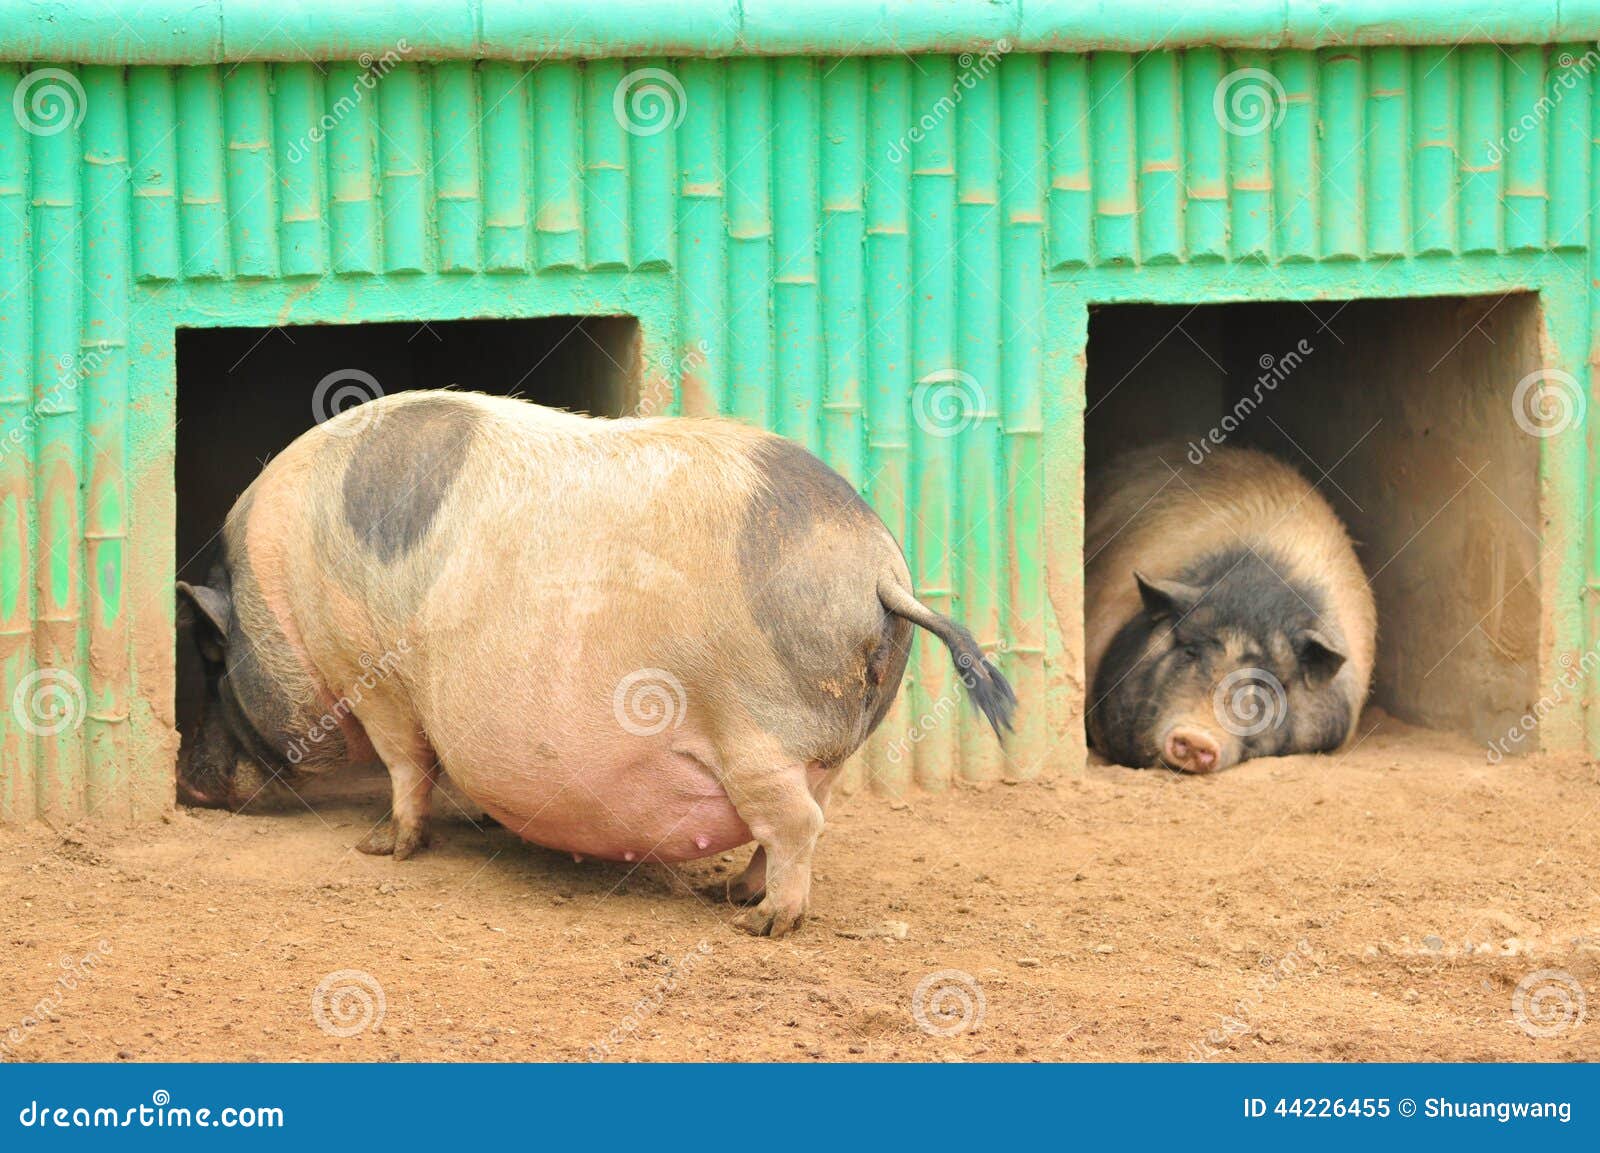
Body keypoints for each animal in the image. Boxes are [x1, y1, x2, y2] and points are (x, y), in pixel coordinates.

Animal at [176, 389, 1015, 937]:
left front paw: (380, 847)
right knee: (803, 818)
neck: (283, 606)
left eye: (214, 661)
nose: (190, 785)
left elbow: (407, 765)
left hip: (757, 733)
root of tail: (881, 573)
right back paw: (738, 898)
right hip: (827, 749)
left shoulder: (368, 672)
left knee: (796, 824)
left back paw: (762, 924)